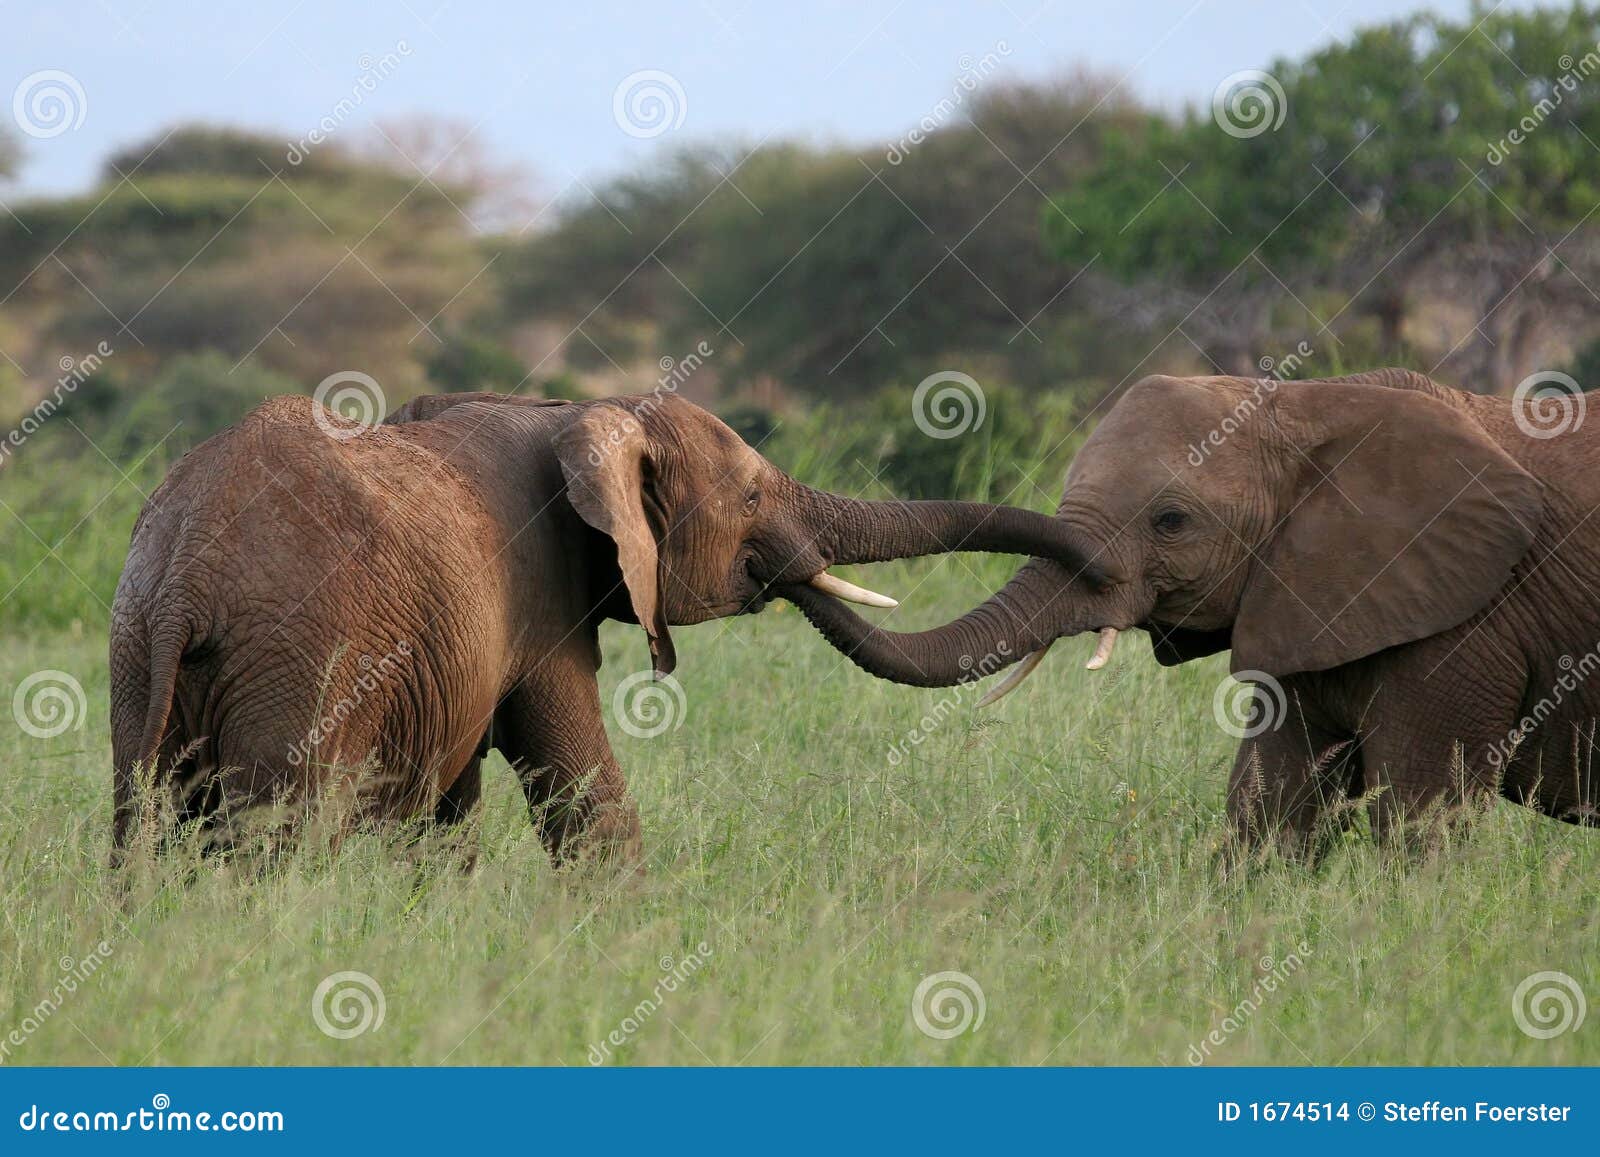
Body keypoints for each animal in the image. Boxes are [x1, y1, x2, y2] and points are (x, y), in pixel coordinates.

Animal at [110, 389, 1106, 864]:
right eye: (751, 496)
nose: (1107, 571)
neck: (583, 411)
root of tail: (188, 567)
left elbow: (451, 808)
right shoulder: (537, 598)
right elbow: (580, 785)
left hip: (137, 651)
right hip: (307, 658)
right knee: (272, 840)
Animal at [785, 368, 1600, 855]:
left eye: (1171, 521)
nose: (777, 554)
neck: (1308, 404)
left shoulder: (1471, 619)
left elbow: (1415, 815)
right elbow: (1267, 805)